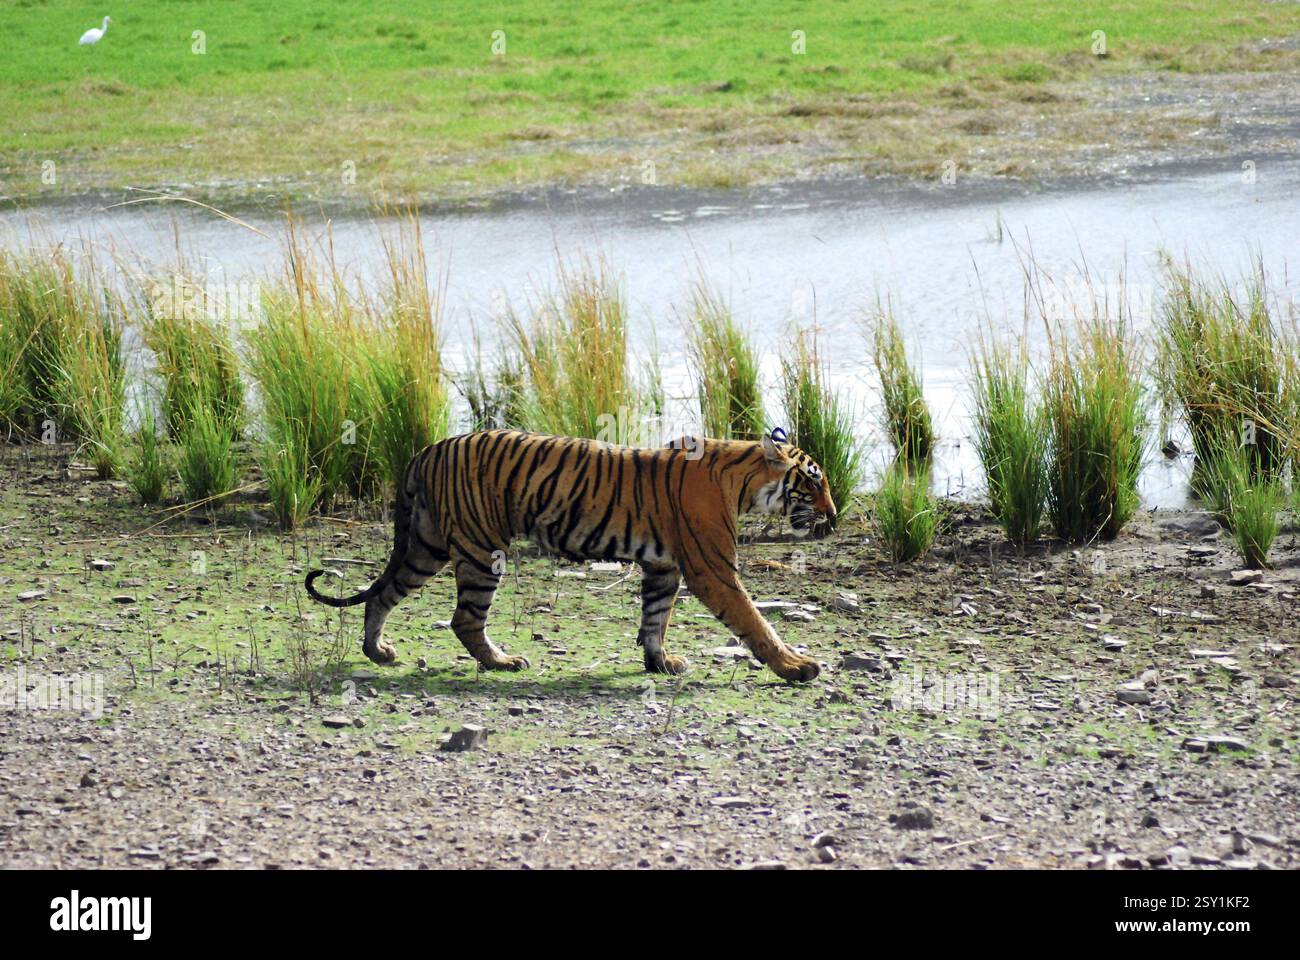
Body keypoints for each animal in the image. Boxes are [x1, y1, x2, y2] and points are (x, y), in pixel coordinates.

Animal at [304, 428, 835, 682]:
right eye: (813, 483)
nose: (832, 515)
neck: (742, 480)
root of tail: (428, 448)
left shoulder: (663, 567)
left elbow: (655, 619)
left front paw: (660, 663)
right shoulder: (712, 570)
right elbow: (756, 623)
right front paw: (797, 667)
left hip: (426, 546)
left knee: (382, 595)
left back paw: (377, 652)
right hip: (479, 547)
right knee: (465, 619)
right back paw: (502, 662)